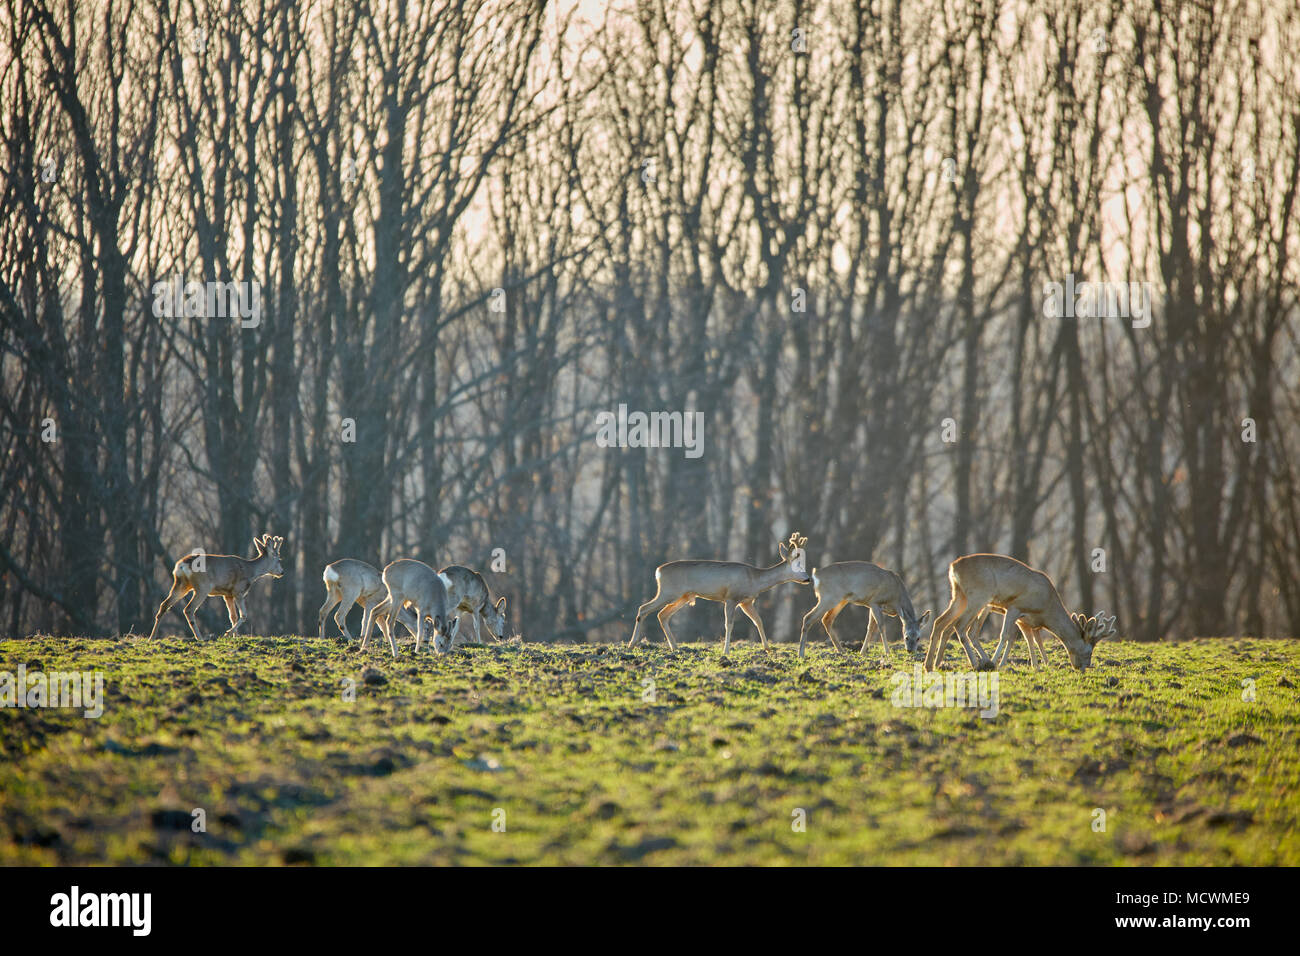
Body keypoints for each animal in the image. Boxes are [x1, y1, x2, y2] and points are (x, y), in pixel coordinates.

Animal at [147, 534, 284, 641]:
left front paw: (235, 636)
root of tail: (181, 565)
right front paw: (228, 633)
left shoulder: (227, 594)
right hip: (202, 587)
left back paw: (152, 638)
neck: (251, 571)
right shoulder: (238, 591)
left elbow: (233, 616)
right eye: (279, 560)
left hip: (181, 584)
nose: (282, 572)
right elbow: (243, 615)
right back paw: (200, 638)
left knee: (164, 605)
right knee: (188, 609)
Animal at [628, 533, 811, 653]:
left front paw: (767, 648)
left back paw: (675, 647)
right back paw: (632, 644)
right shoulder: (731, 598)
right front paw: (726, 651)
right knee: (643, 608)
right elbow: (729, 624)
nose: (808, 578)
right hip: (668, 591)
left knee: (662, 615)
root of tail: (658, 571)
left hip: (683, 596)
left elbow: (758, 621)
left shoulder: (747, 601)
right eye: (798, 565)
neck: (754, 579)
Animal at [797, 561, 931, 660]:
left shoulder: (873, 606)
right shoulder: (875, 602)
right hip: (829, 597)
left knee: (826, 619)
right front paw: (888, 652)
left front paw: (862, 652)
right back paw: (801, 654)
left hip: (841, 600)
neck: (896, 596)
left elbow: (870, 628)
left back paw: (841, 651)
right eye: (906, 637)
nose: (910, 651)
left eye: (918, 638)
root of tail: (816, 574)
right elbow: (881, 626)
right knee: (808, 618)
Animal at [922, 553, 1117, 673]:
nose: (1083, 667)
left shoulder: (1025, 620)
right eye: (1088, 651)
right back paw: (978, 663)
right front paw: (997, 662)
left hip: (959, 596)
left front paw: (1040, 665)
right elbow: (1005, 636)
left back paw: (931, 664)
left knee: (940, 622)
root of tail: (953, 567)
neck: (1046, 606)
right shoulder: (1015, 607)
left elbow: (1032, 640)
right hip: (978, 596)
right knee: (961, 627)